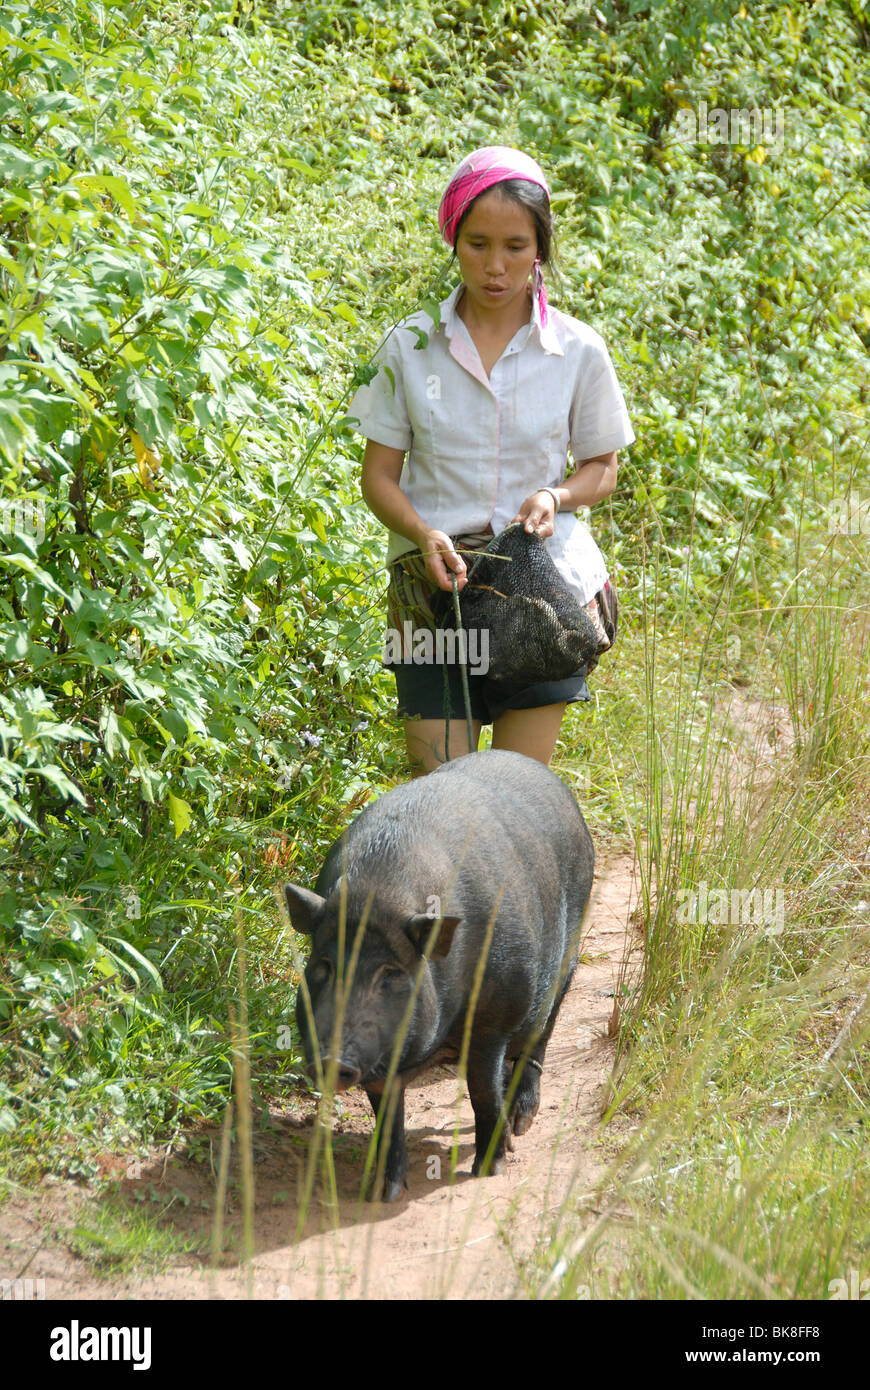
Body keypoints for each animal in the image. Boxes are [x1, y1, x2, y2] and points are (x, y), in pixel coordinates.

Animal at [284, 749, 594, 1202]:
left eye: (391, 973)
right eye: (323, 966)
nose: (331, 1059)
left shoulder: (492, 1020)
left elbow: (482, 1091)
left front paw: (490, 1169)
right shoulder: (383, 1058)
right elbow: (387, 1116)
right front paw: (385, 1192)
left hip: (565, 963)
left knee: (537, 1040)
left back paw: (521, 1124)